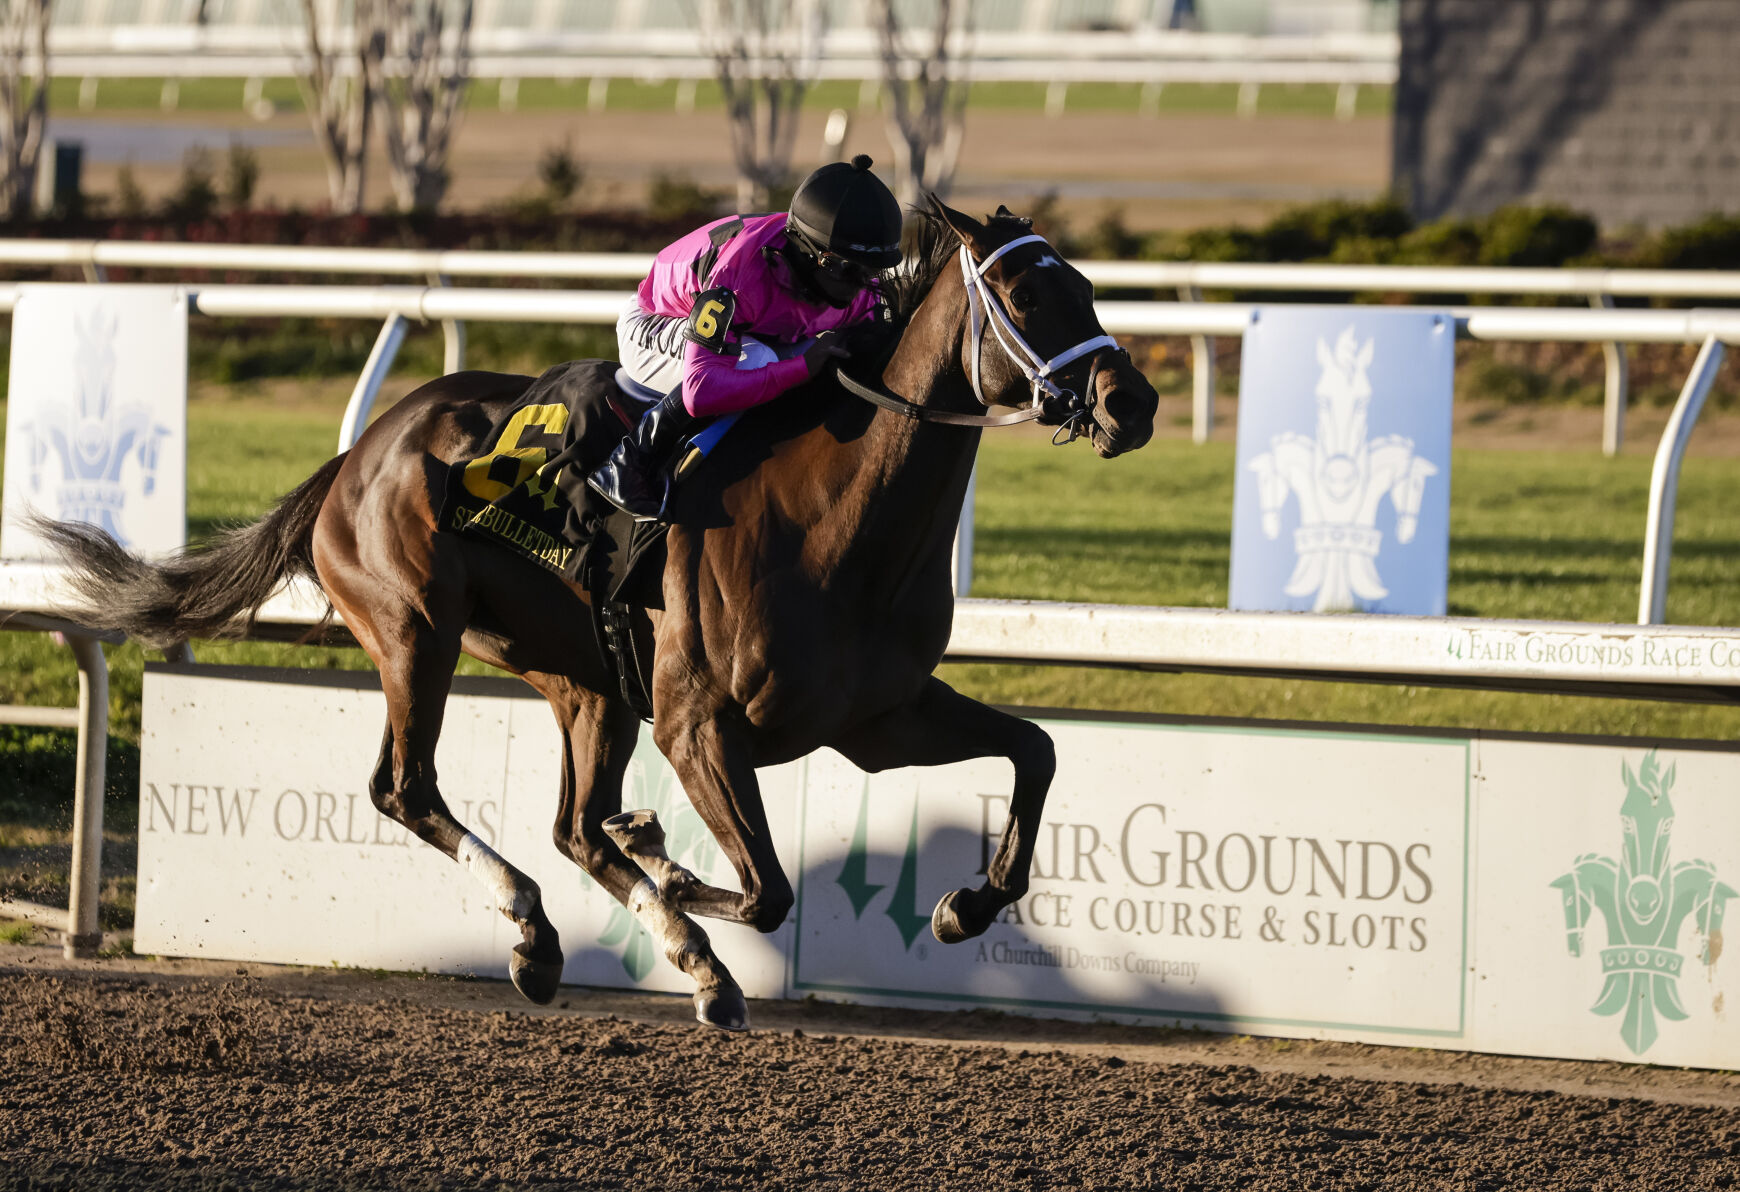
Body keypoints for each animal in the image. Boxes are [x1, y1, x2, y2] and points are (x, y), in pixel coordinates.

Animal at [39, 199, 1160, 1031]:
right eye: (1024, 292)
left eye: (1085, 285)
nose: (1132, 402)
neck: (840, 512)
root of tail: (361, 451)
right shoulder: (699, 723)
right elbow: (766, 888)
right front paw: (670, 859)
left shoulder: (878, 720)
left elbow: (1036, 749)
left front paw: (967, 904)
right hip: (416, 631)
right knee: (408, 788)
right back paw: (546, 931)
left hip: (581, 677)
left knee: (573, 826)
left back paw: (629, 942)